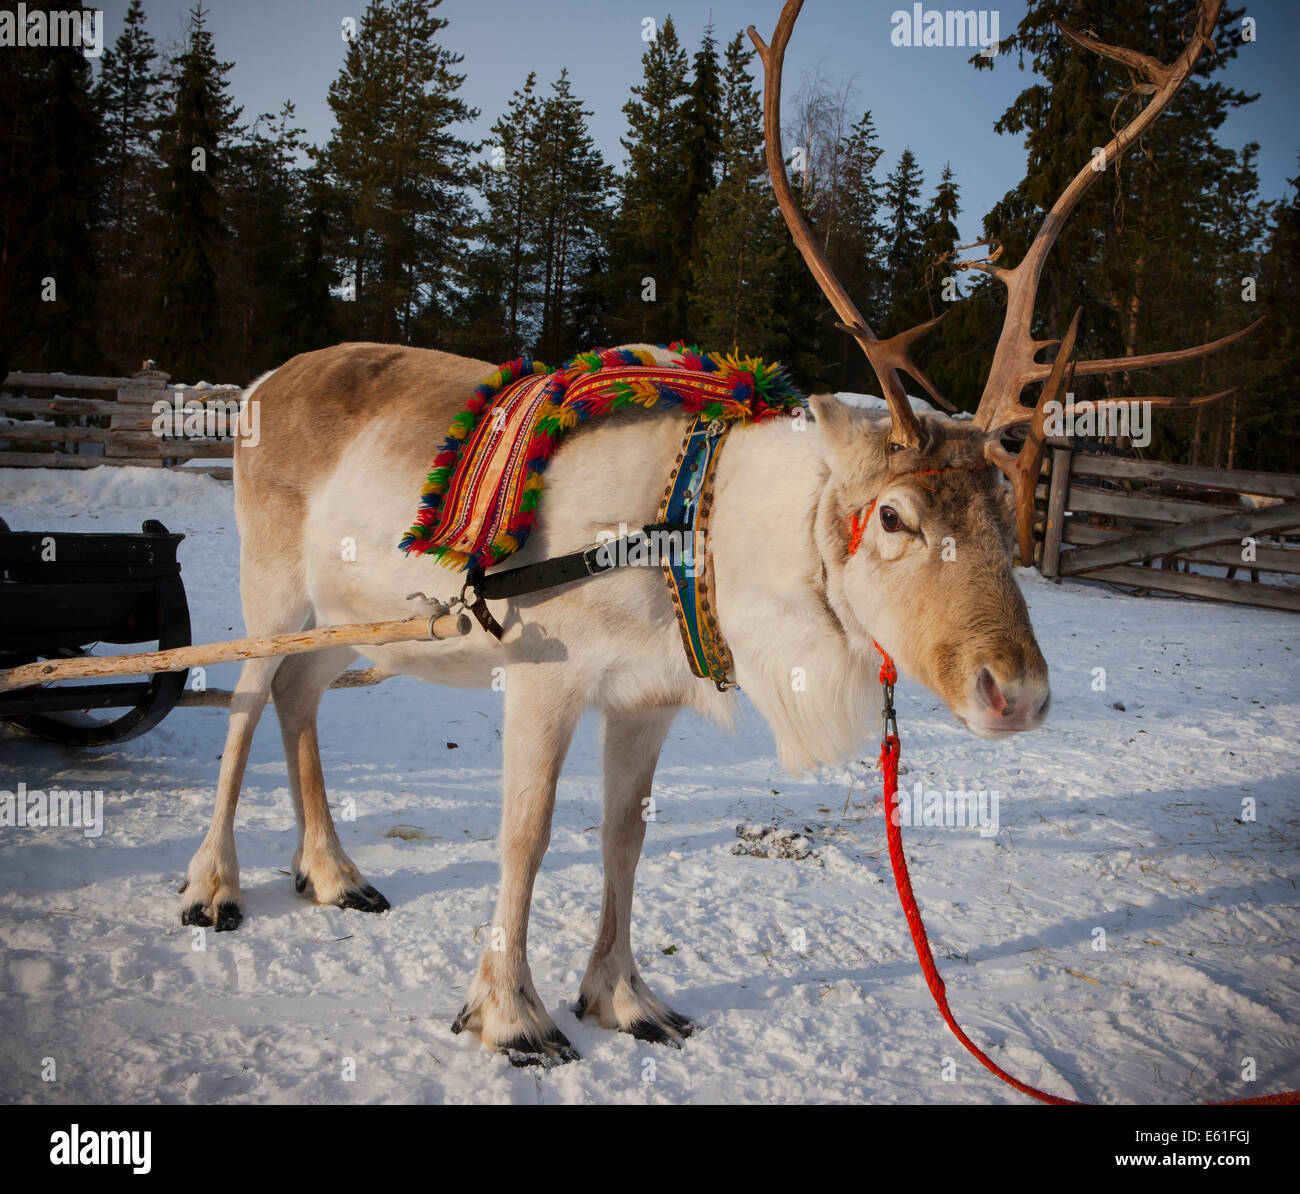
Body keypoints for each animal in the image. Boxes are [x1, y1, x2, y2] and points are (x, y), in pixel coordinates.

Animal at [179, 0, 1251, 1064]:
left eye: (1008, 513)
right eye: (894, 515)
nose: (1016, 693)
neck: (694, 534)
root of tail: (258, 384)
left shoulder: (647, 696)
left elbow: (625, 839)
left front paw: (623, 997)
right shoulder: (542, 674)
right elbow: (526, 835)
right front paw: (511, 1014)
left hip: (351, 618)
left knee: (300, 698)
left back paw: (332, 872)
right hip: (271, 590)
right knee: (241, 702)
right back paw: (213, 887)